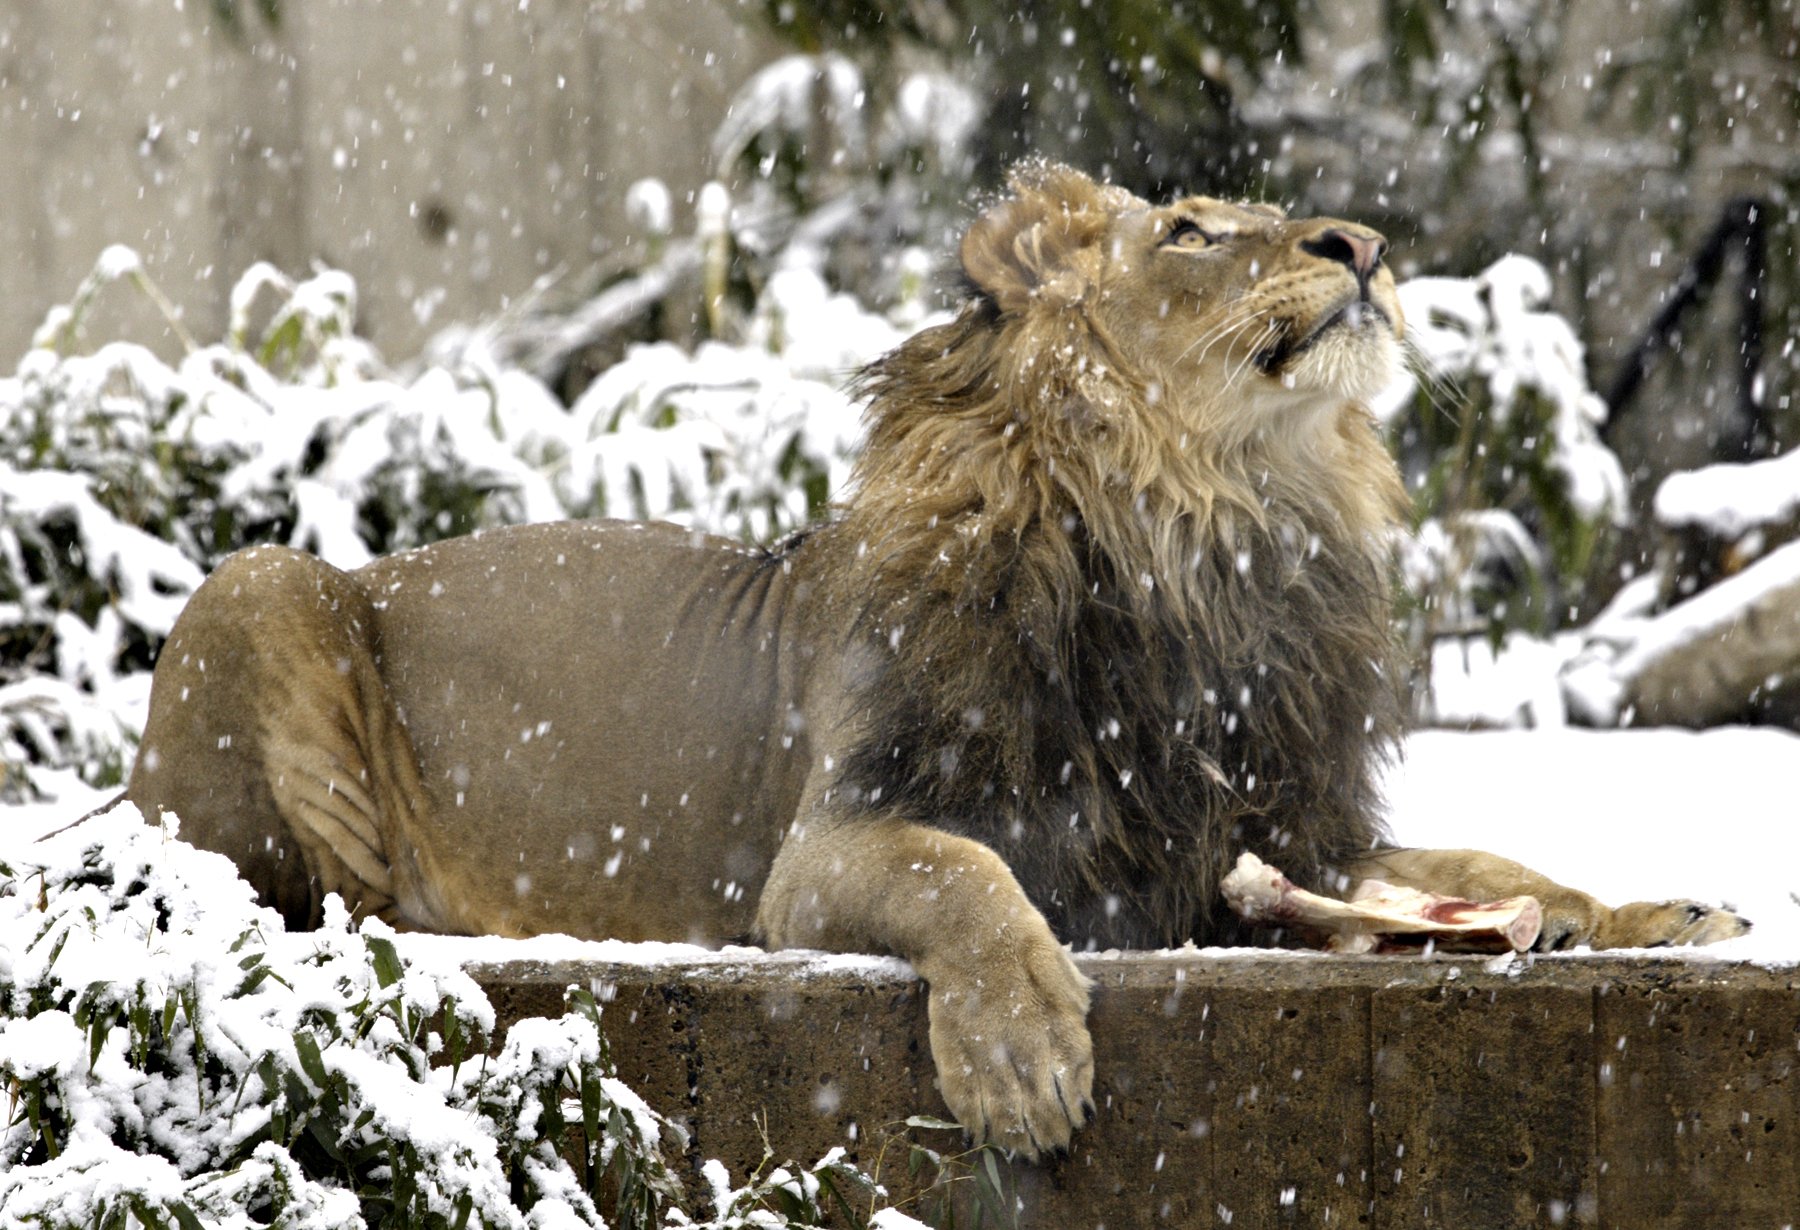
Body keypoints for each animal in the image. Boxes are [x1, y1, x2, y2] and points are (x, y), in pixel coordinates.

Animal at [126, 162, 1749, 1159]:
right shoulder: (825, 849)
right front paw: (1024, 1058)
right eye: (1189, 233)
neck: (1211, 536)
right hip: (258, 584)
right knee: (314, 890)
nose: (1362, 248)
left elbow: (1492, 867)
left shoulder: (1257, 829)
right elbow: (961, 877)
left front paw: (1652, 912)